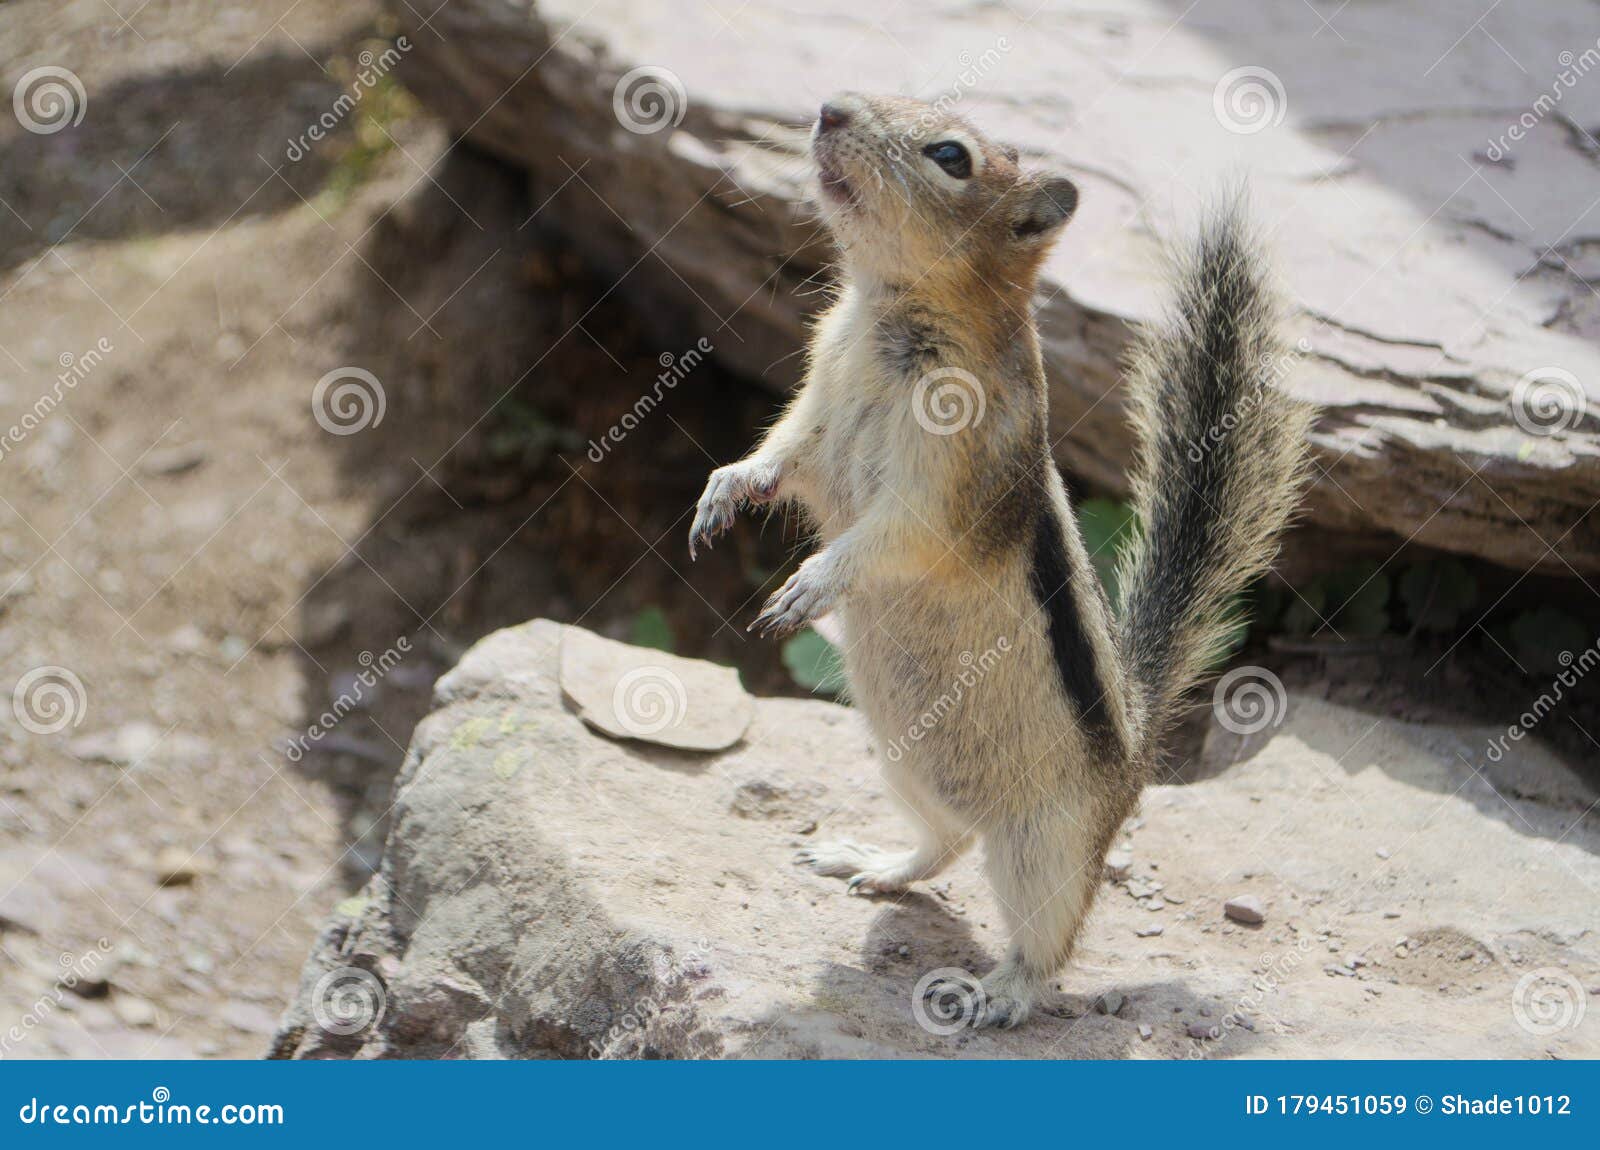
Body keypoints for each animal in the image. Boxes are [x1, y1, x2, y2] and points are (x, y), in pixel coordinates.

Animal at [688, 92, 1313, 1029]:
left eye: (951, 156)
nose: (830, 108)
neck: (884, 312)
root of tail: (1138, 752)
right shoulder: (816, 408)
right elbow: (780, 457)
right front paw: (724, 490)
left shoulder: (948, 485)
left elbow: (893, 537)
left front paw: (811, 583)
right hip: (901, 763)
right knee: (944, 842)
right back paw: (872, 862)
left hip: (1042, 850)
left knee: (1049, 945)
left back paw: (999, 993)